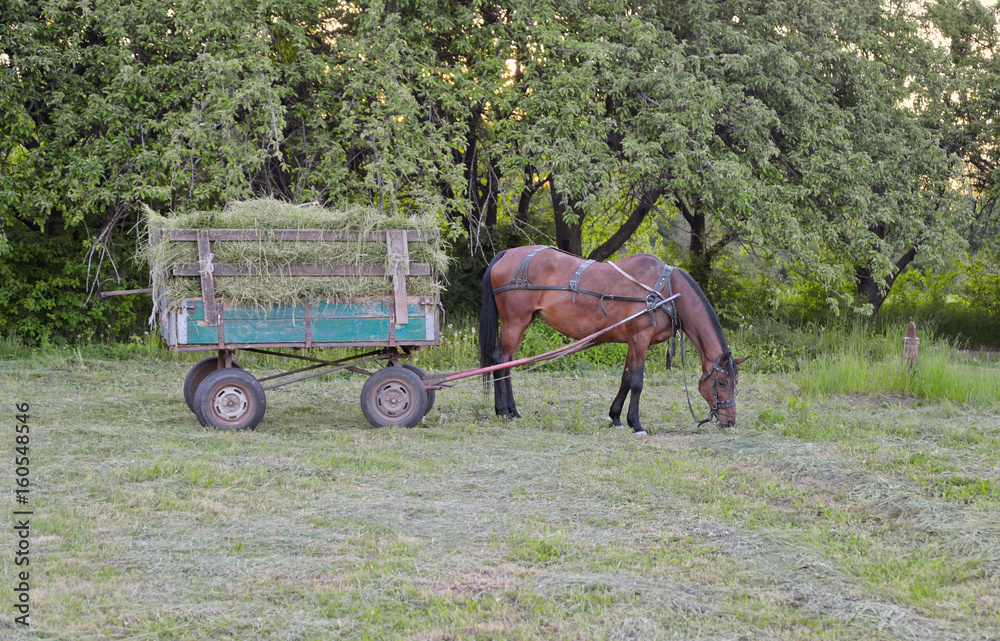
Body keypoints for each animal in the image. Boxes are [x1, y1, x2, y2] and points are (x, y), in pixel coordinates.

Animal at [478, 245, 746, 434]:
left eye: (735, 383)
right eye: (721, 382)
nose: (730, 420)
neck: (667, 290)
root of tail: (505, 254)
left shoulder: (632, 342)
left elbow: (626, 378)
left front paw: (616, 417)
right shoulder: (640, 338)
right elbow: (637, 381)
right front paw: (636, 423)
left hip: (523, 322)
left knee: (508, 362)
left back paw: (513, 410)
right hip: (515, 322)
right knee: (500, 359)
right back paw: (502, 411)